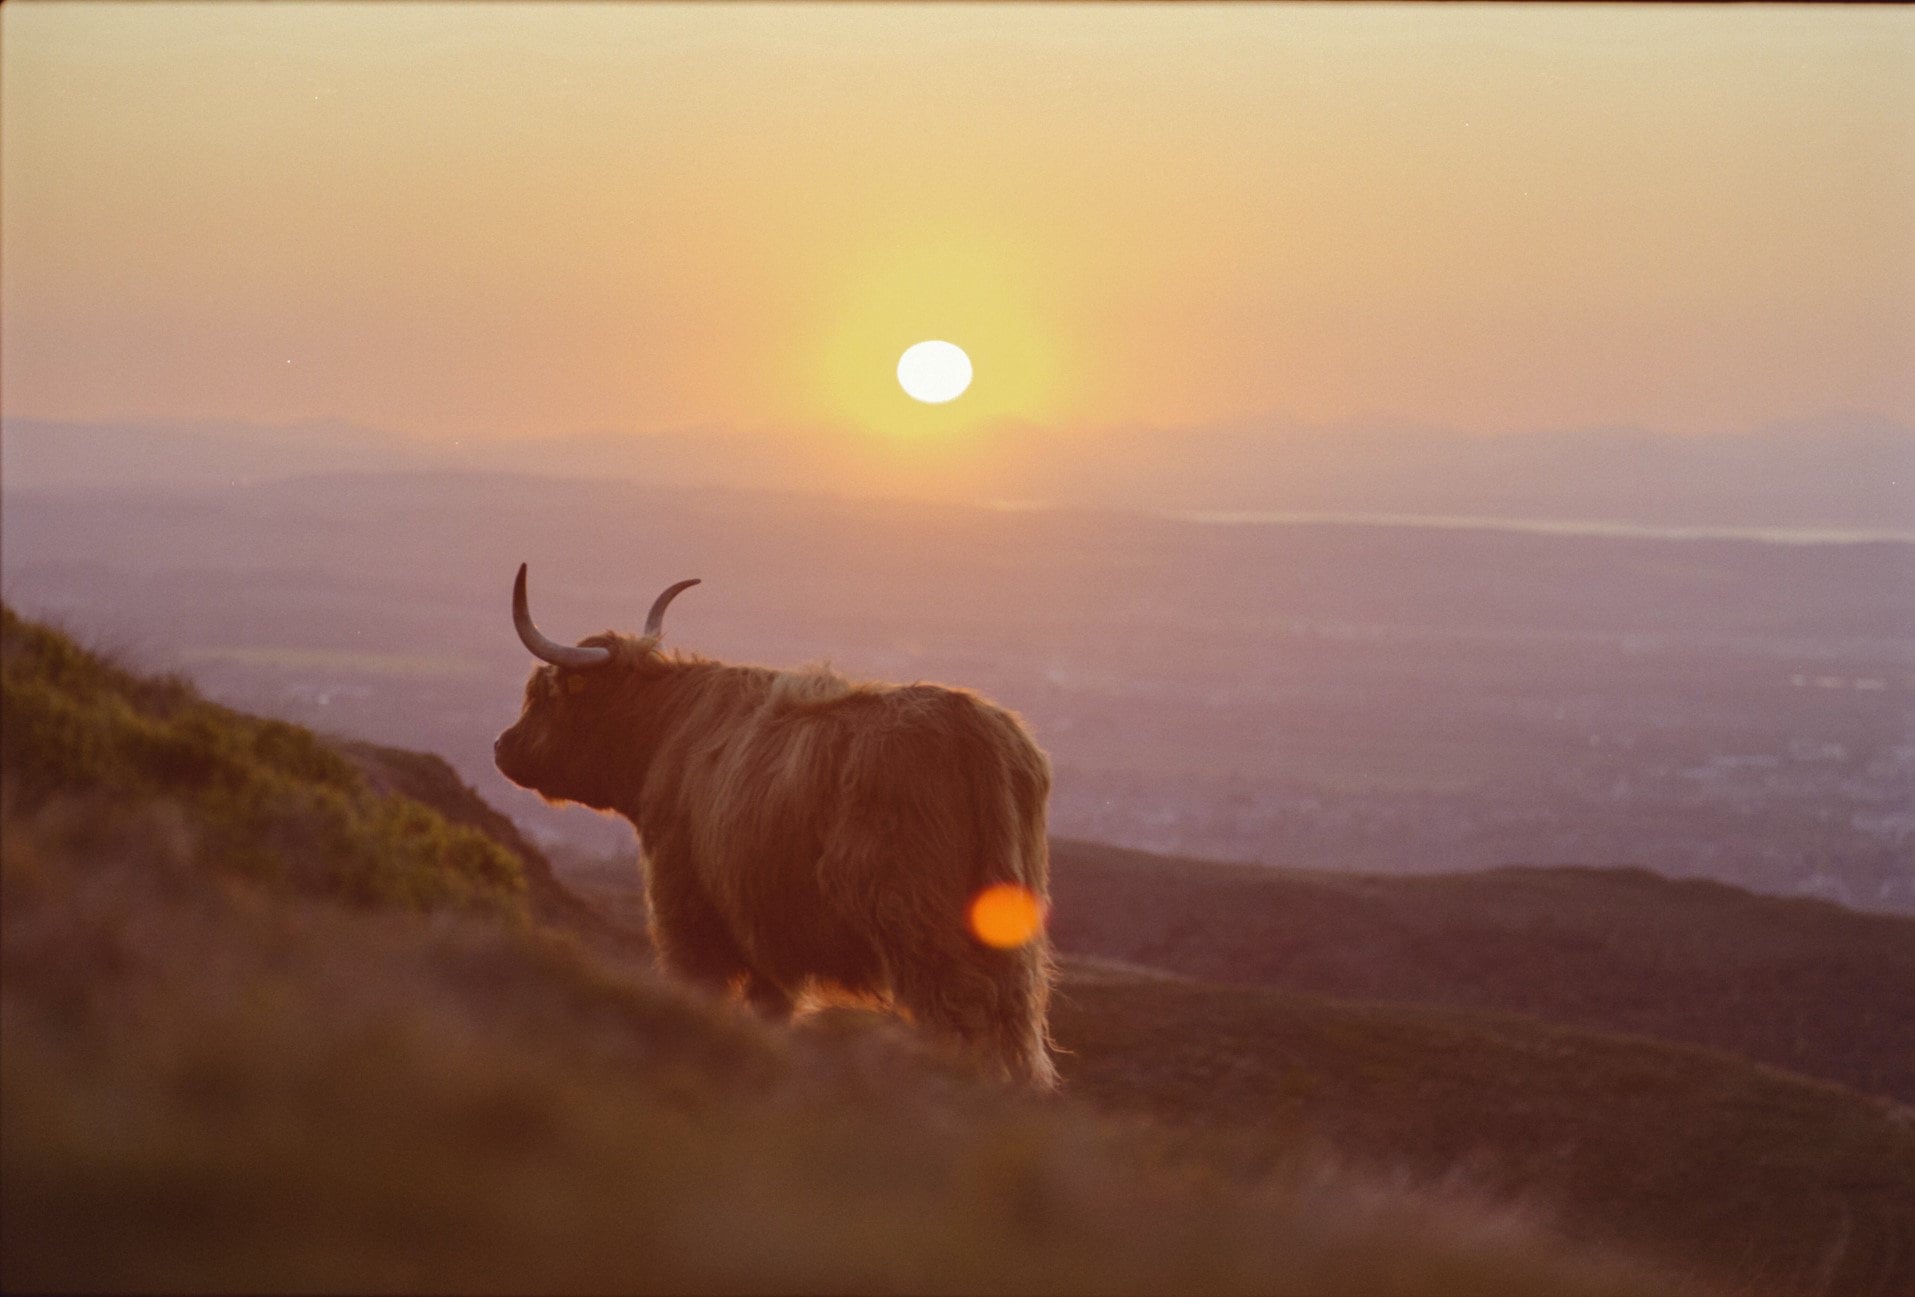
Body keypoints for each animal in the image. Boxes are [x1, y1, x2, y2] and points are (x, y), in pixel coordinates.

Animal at [493, 565, 1059, 1088]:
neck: (667, 731)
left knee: (960, 1010)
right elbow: (770, 1008)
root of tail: (973, 724)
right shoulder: (767, 932)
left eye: (545, 694)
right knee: (1015, 1020)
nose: (502, 747)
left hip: (920, 924)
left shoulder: (687, 908)